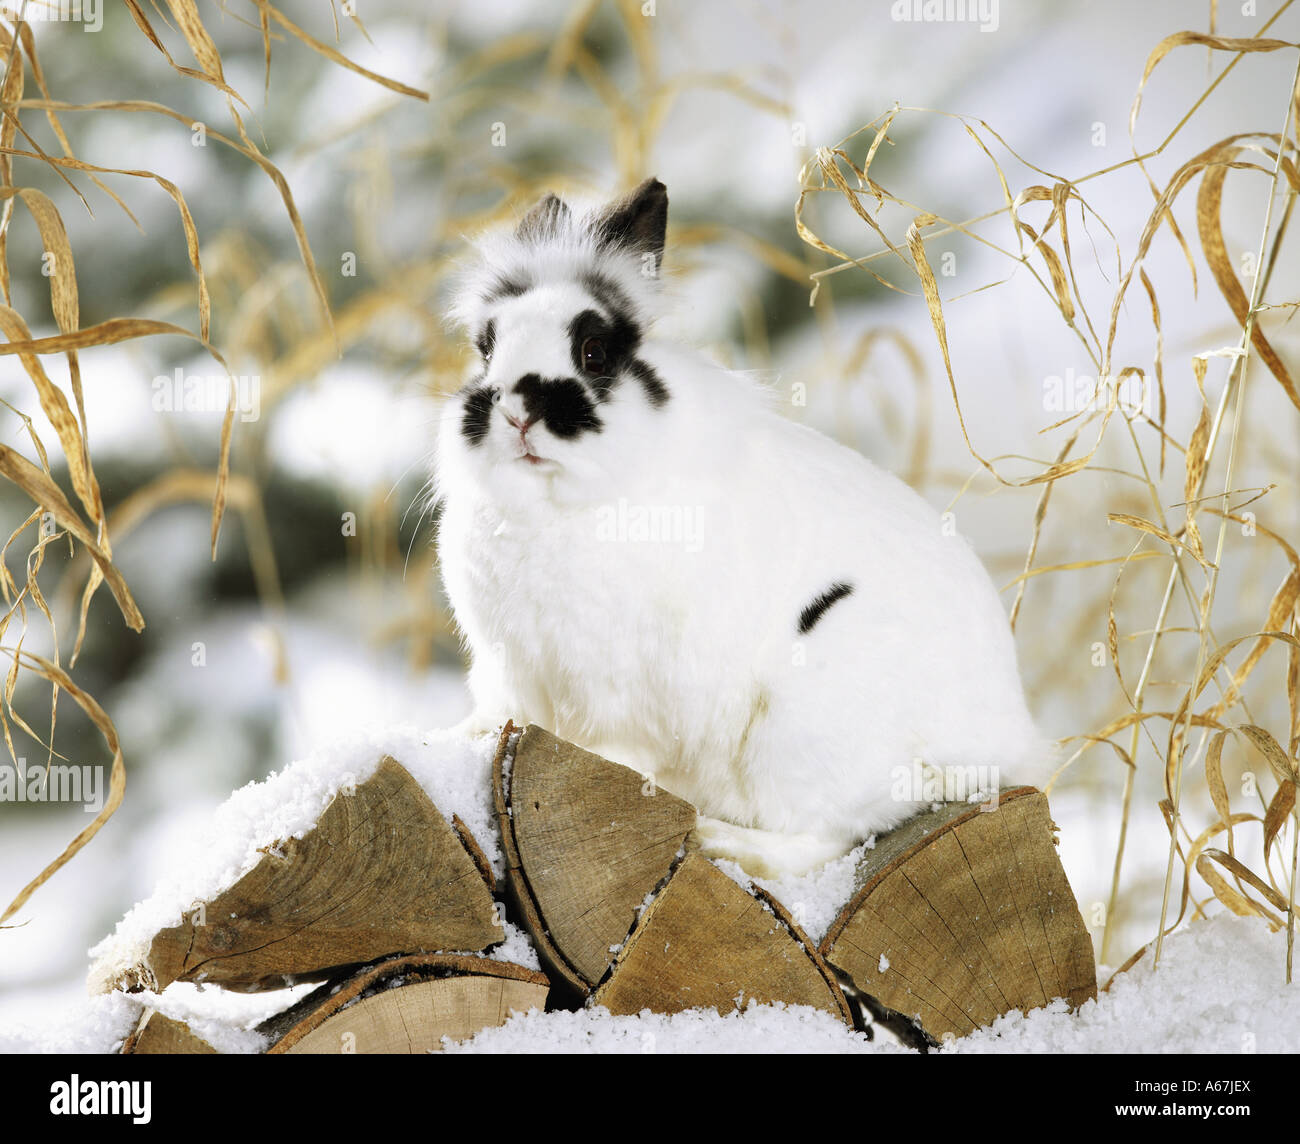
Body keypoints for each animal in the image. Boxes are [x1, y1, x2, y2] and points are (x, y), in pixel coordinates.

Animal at [432, 177, 1053, 878]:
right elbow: (495, 720)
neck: (557, 504)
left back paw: (721, 841)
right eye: (487, 348)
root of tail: (1003, 745)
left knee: (826, 837)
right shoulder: (509, 675)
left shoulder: (614, 694)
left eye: (593, 352)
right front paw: (446, 740)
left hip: (803, 729)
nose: (515, 412)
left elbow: (612, 752)